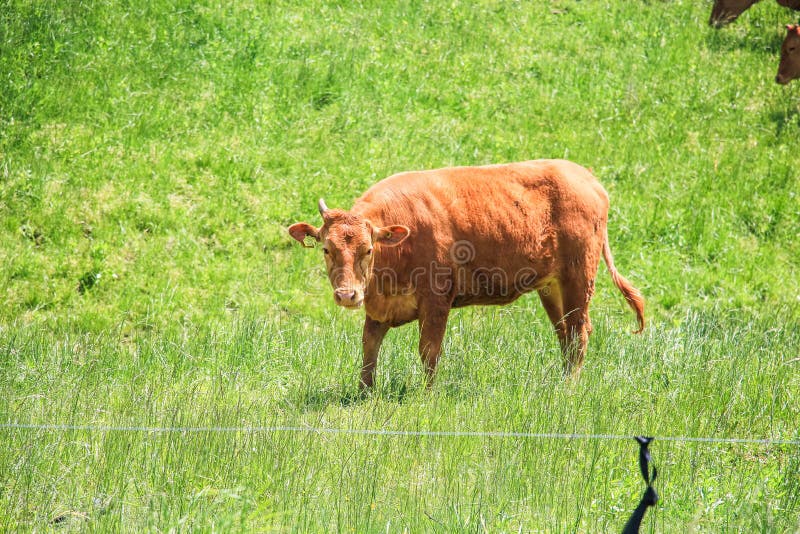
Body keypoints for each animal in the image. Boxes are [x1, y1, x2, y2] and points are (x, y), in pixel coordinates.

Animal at [288, 160, 645, 389]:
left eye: (368, 249)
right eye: (326, 249)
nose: (347, 295)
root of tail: (586, 177)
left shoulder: (436, 301)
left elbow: (429, 350)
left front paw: (427, 394)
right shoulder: (378, 309)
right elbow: (369, 349)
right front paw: (364, 392)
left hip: (578, 279)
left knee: (578, 333)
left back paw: (568, 388)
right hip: (552, 287)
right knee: (566, 335)